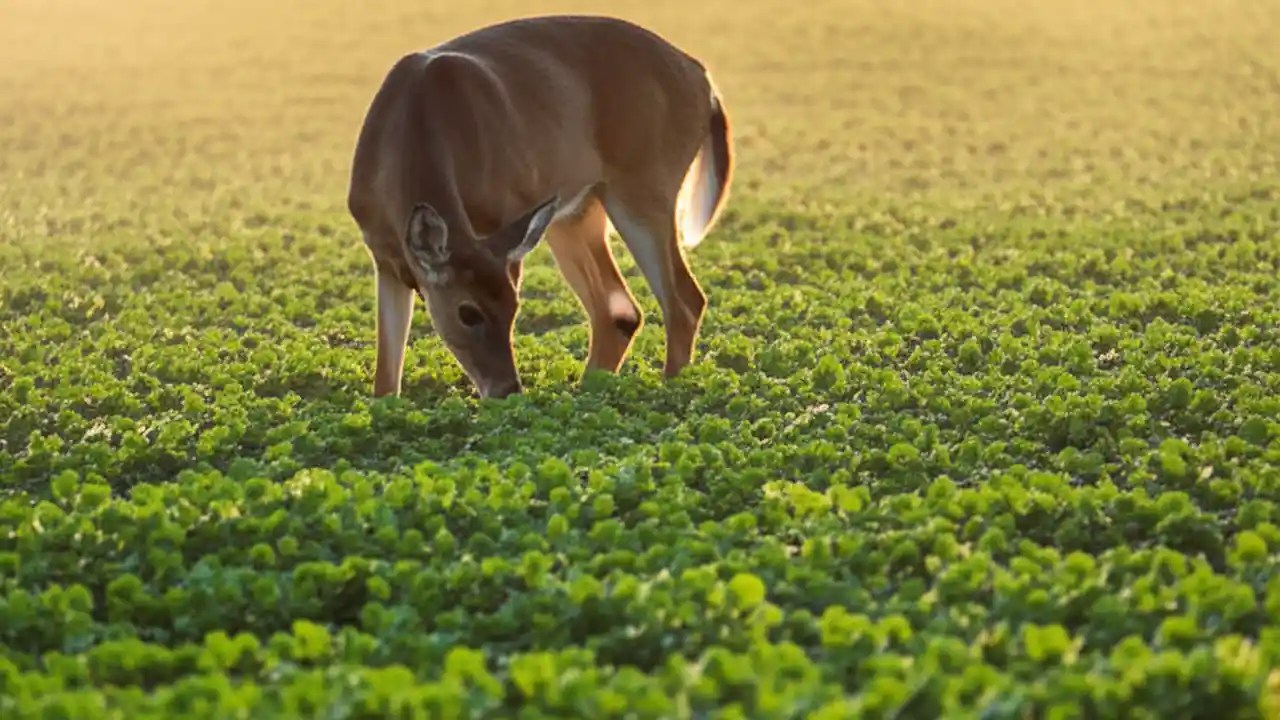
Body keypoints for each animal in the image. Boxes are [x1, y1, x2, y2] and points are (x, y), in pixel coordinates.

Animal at [346, 14, 734, 400]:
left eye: (514, 308)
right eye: (468, 313)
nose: (508, 390)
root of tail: (703, 79)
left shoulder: (504, 222)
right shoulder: (384, 256)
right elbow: (386, 374)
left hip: (645, 185)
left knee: (684, 300)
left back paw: (669, 387)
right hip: (577, 211)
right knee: (620, 310)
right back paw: (588, 390)